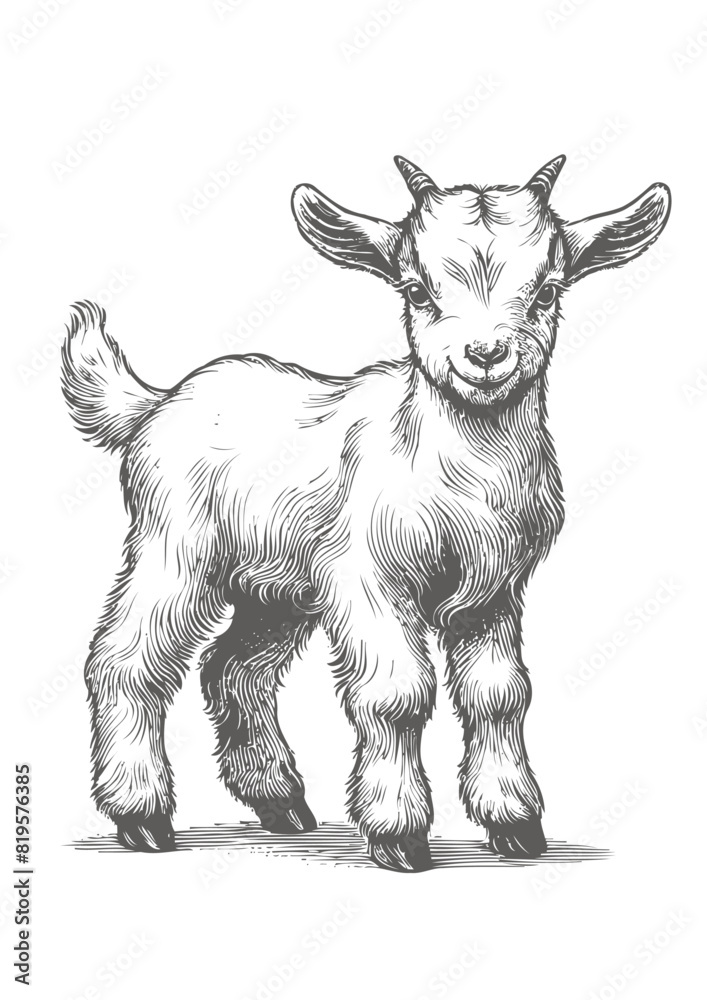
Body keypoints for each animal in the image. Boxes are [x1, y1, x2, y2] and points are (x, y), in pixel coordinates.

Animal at [61, 155, 670, 871]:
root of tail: (156, 403)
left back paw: (281, 804)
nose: (486, 356)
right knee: (126, 659)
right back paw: (143, 816)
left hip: (277, 588)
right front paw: (399, 836)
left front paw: (515, 826)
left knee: (233, 669)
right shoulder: (371, 580)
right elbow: (398, 693)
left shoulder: (494, 593)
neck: (459, 469)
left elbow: (498, 695)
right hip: (175, 548)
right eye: (416, 289)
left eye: (549, 290)